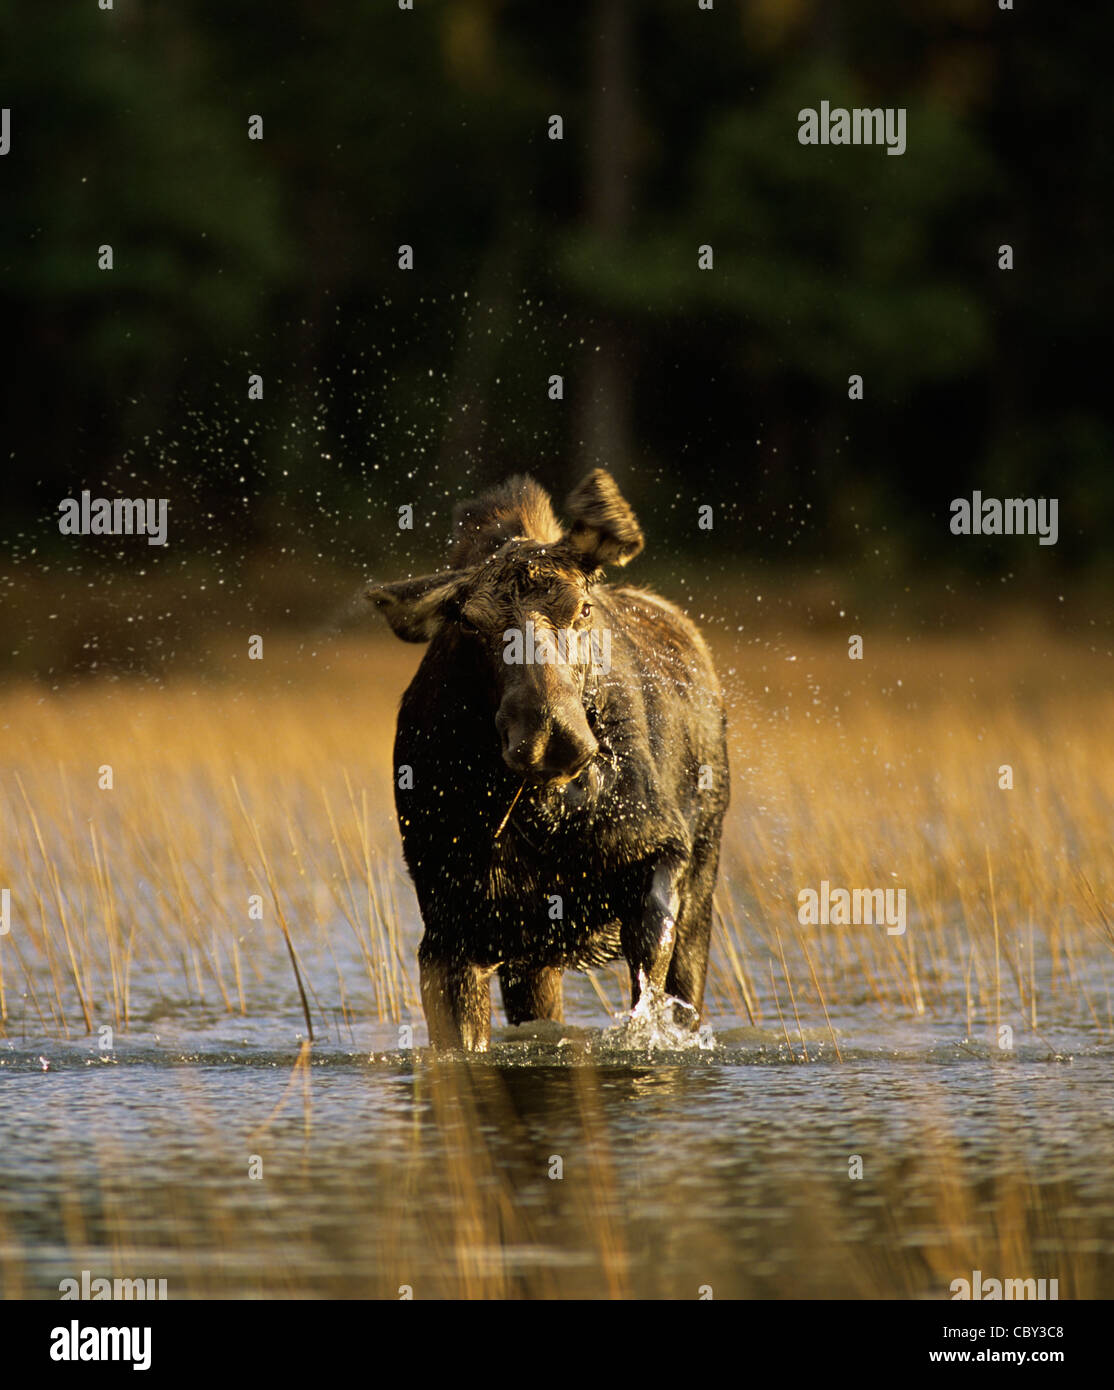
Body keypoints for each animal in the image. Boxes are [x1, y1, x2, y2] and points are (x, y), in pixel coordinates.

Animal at [367, 469, 729, 1051]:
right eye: (470, 625)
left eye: (583, 609)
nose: (549, 738)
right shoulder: (451, 927)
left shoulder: (660, 850)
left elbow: (649, 998)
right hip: (530, 956)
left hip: (704, 876)